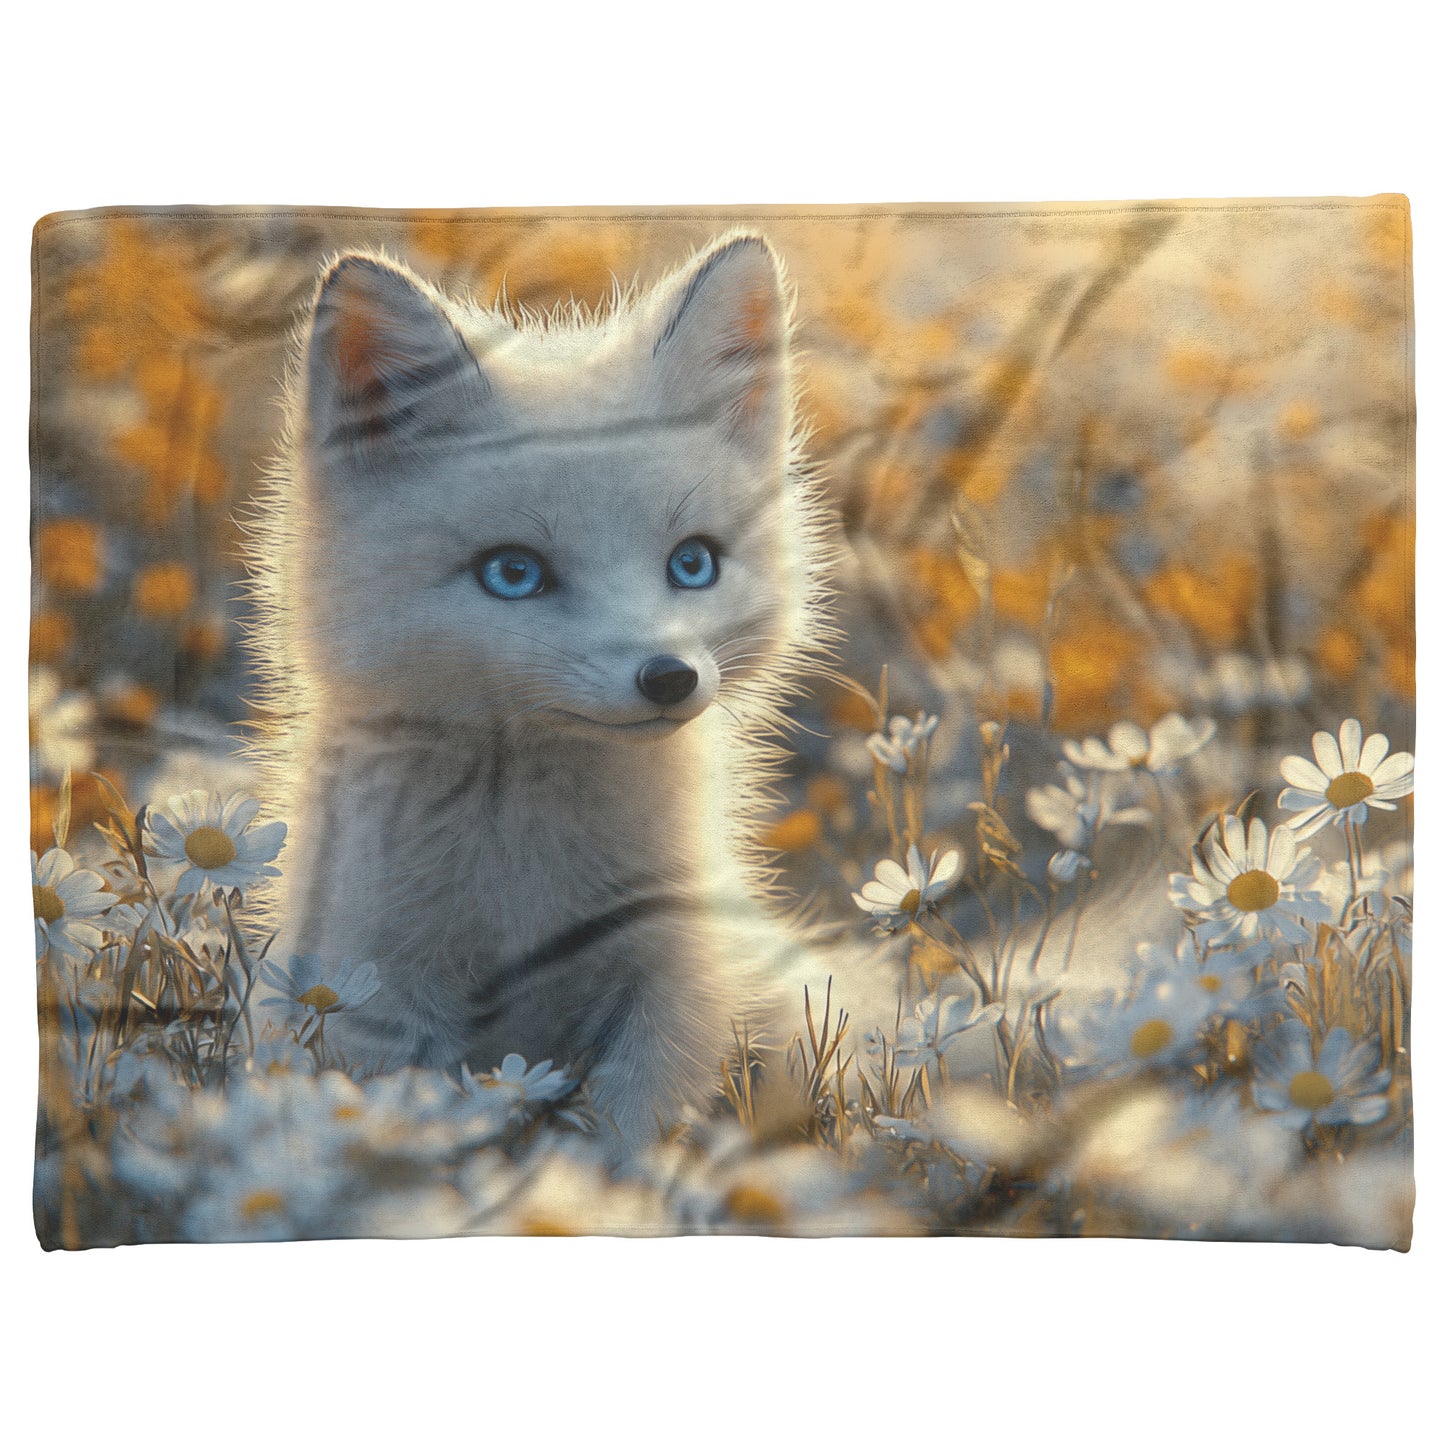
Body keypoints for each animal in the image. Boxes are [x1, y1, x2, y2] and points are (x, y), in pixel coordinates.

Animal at [248, 233, 885, 1146]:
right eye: (513, 573)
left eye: (693, 563)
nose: (668, 677)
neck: (529, 883)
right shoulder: (375, 990)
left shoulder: (674, 980)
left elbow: (631, 1137)